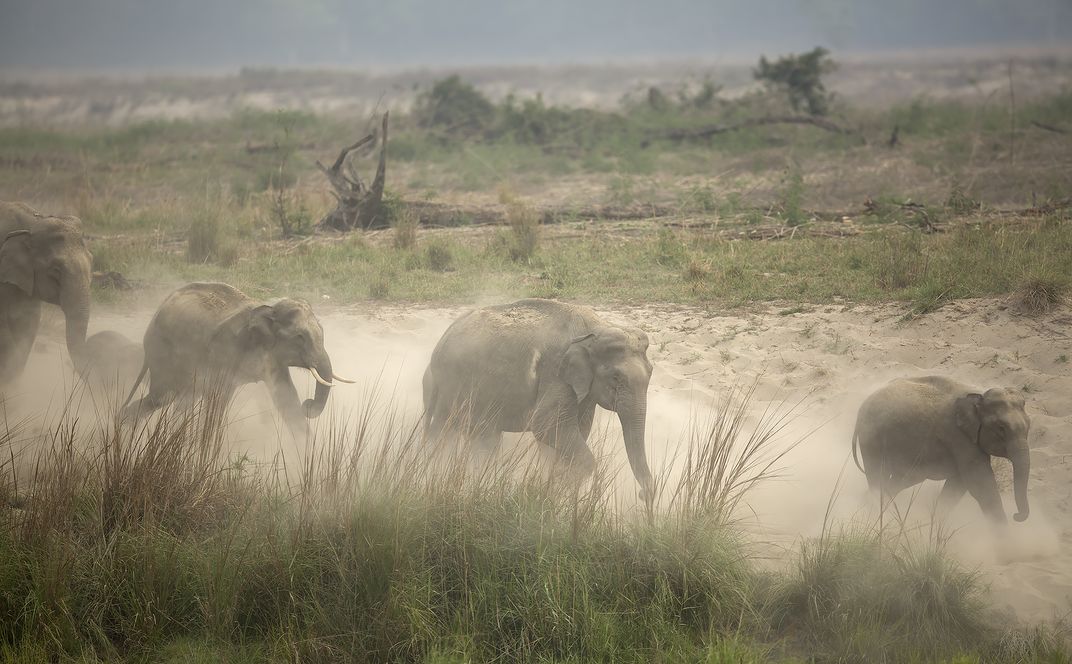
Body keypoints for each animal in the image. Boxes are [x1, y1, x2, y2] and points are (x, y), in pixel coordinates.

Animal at [121, 282, 352, 439]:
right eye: (300, 337)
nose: (309, 404)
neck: (268, 308)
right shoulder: (226, 351)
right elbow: (218, 400)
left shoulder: (273, 358)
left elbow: (287, 400)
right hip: (161, 352)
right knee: (161, 397)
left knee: (179, 400)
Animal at [423, 298, 654, 496]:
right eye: (616, 378)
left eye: (651, 371)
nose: (643, 494)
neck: (597, 328)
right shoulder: (556, 372)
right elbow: (546, 424)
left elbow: (579, 427)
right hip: (453, 385)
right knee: (455, 430)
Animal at [852, 375, 1031, 524]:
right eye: (1001, 428)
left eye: (1029, 426)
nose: (1016, 515)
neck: (979, 394)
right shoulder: (958, 437)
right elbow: (980, 486)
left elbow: (957, 487)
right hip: (871, 436)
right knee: (877, 475)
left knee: (900, 480)